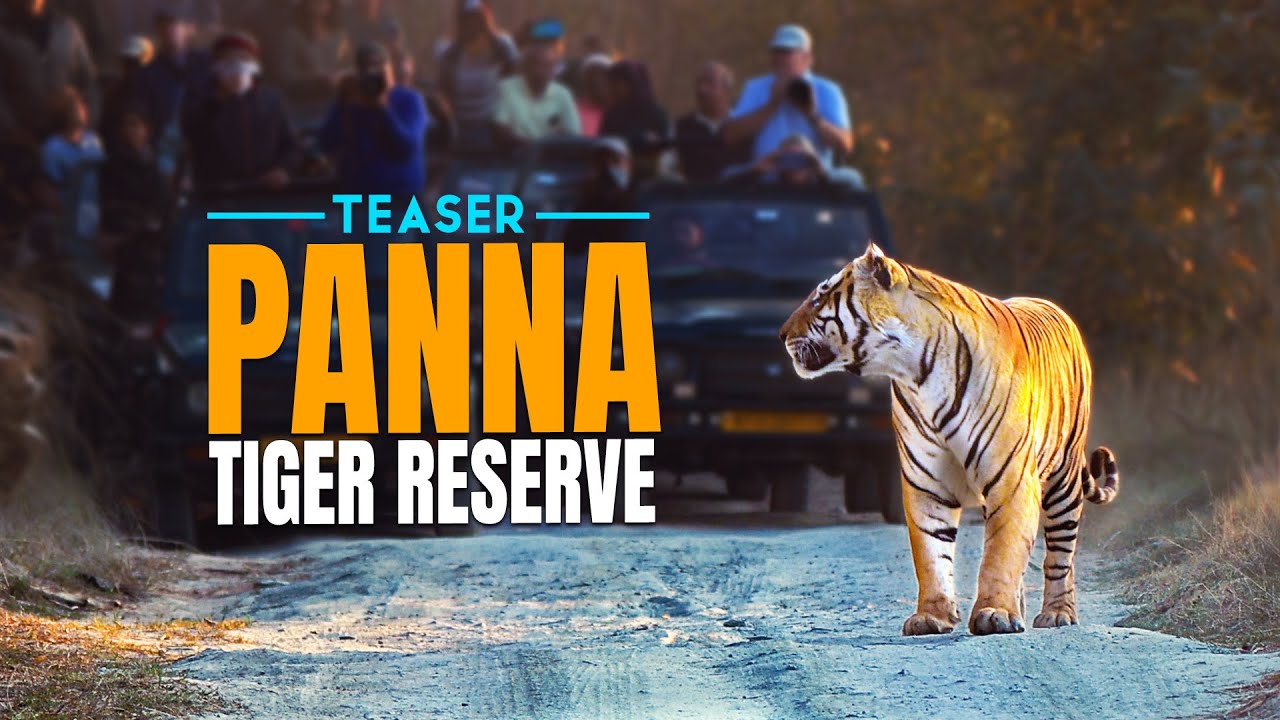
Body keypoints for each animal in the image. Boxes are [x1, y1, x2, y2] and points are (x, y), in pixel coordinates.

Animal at [779, 243, 1119, 636]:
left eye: (821, 296)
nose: (781, 333)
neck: (914, 370)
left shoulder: (1011, 477)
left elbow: (1001, 552)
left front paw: (994, 614)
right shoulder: (926, 480)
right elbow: (931, 551)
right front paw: (932, 616)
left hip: (1063, 479)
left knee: (1060, 554)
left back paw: (1057, 613)